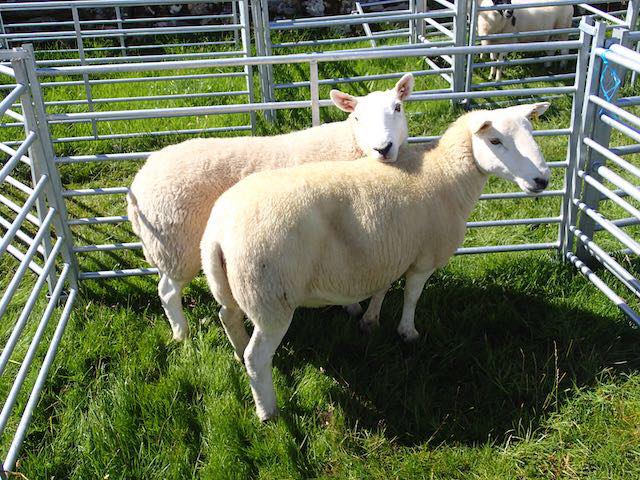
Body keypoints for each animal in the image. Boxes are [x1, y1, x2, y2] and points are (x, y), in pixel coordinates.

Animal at [127, 73, 415, 342]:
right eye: (357, 117)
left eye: (398, 108)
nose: (383, 148)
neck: (350, 145)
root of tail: (137, 183)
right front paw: (355, 309)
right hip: (178, 245)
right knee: (167, 291)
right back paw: (181, 333)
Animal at [200, 102, 551, 421]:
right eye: (495, 141)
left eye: (531, 133)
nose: (542, 180)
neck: (447, 174)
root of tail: (219, 230)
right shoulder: (424, 257)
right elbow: (412, 296)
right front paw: (408, 333)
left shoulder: (386, 251)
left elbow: (382, 288)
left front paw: (370, 320)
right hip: (271, 298)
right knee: (258, 358)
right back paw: (268, 410)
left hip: (231, 286)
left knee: (228, 317)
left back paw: (237, 351)